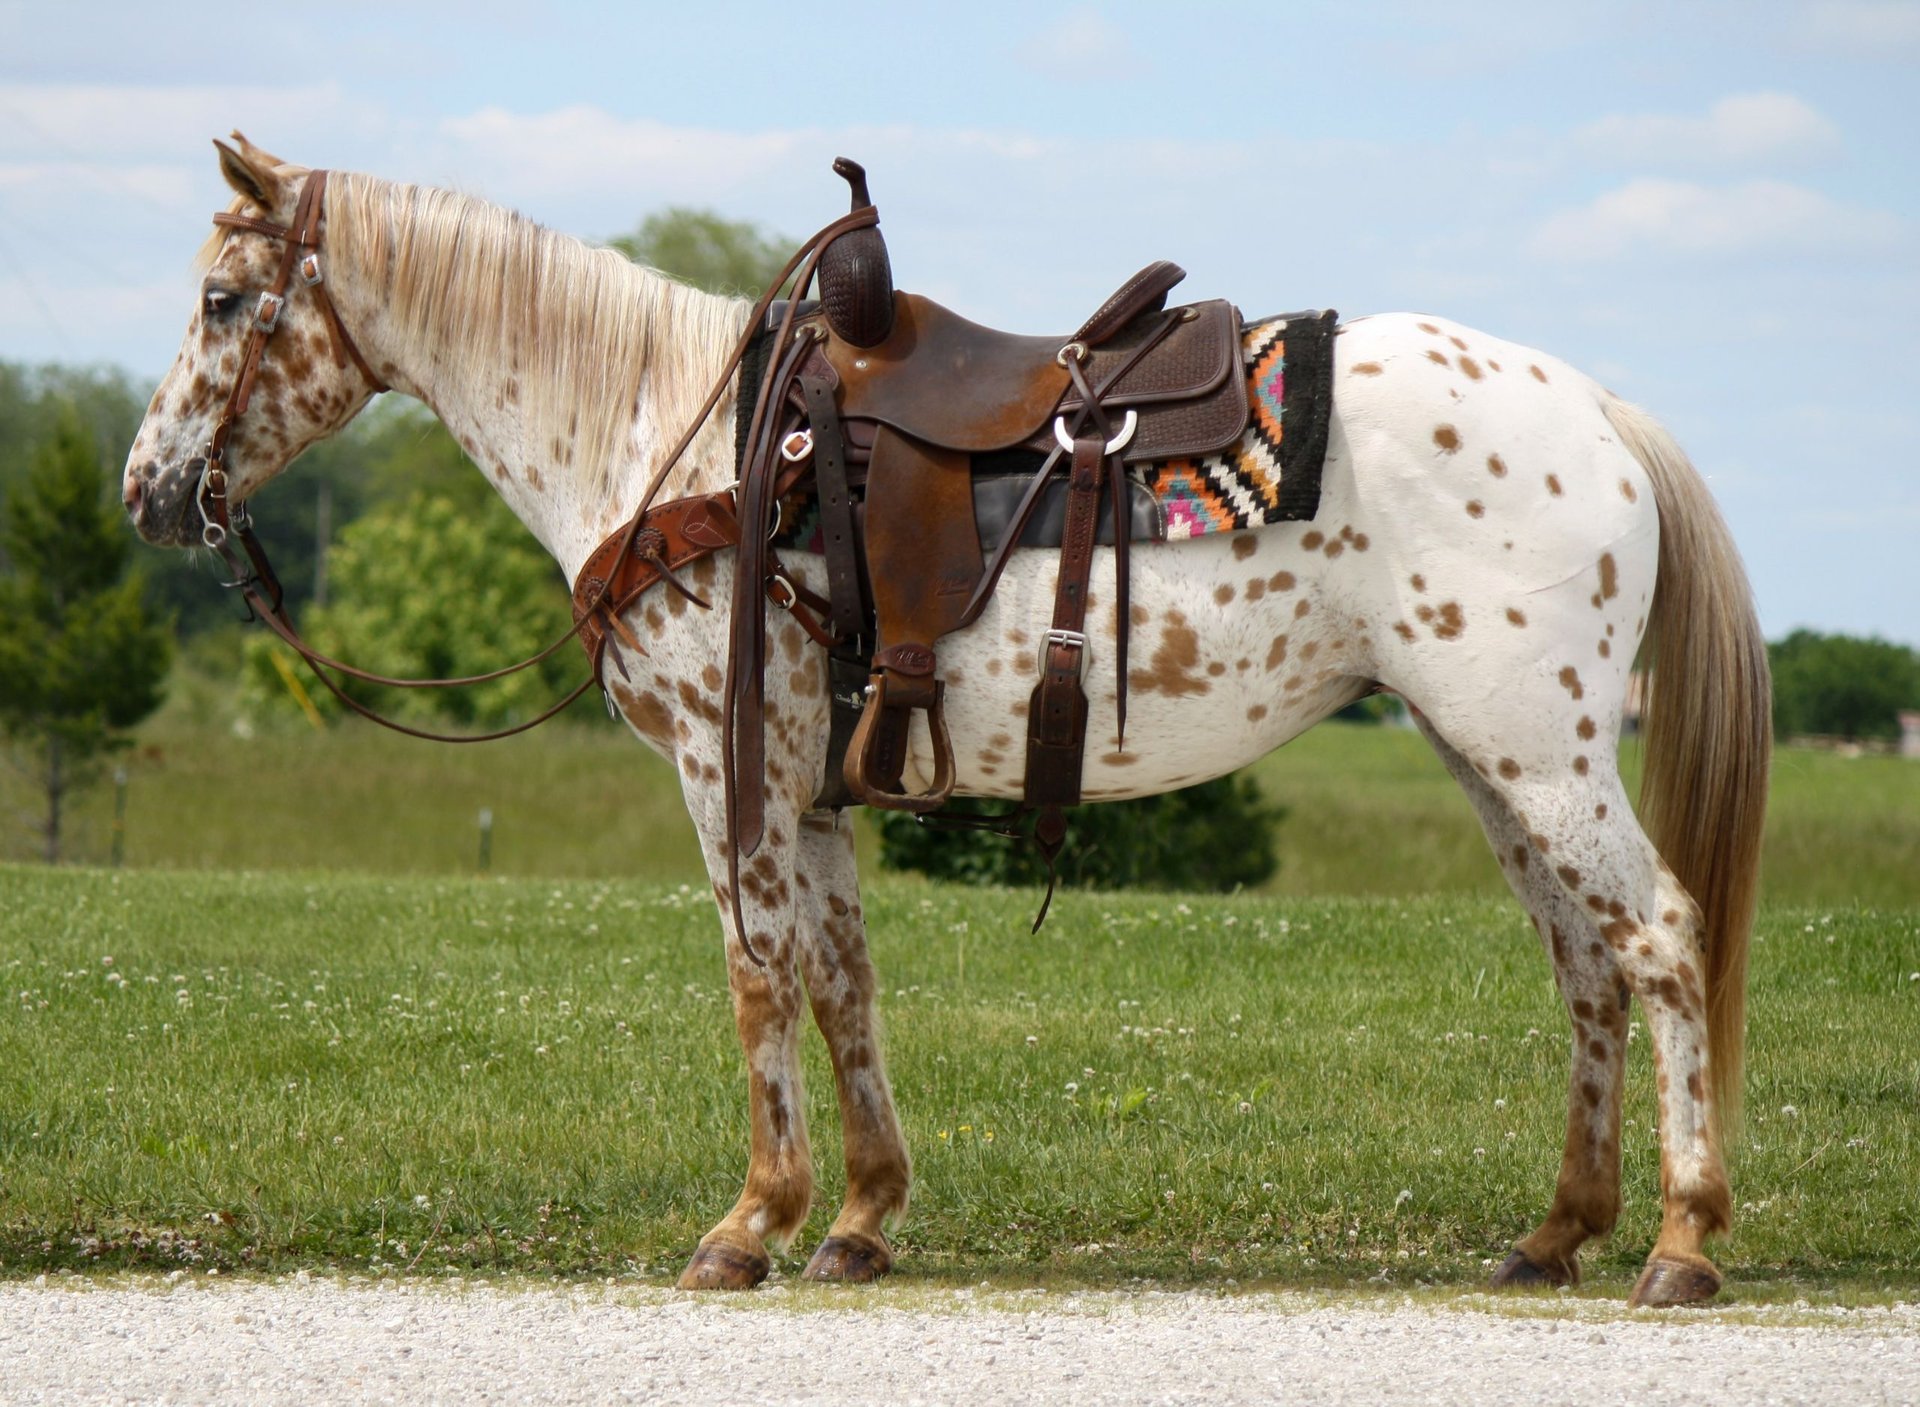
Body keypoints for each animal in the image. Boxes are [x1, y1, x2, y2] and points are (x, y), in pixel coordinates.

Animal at [123, 134, 1771, 1306]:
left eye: (220, 301)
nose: (148, 491)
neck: (688, 443)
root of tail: (1603, 410)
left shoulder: (727, 769)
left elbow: (759, 981)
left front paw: (749, 1222)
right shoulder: (812, 791)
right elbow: (844, 986)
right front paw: (857, 1219)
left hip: (1538, 750)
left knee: (1660, 939)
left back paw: (1681, 1241)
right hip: (1493, 753)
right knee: (1583, 965)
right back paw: (1555, 1232)